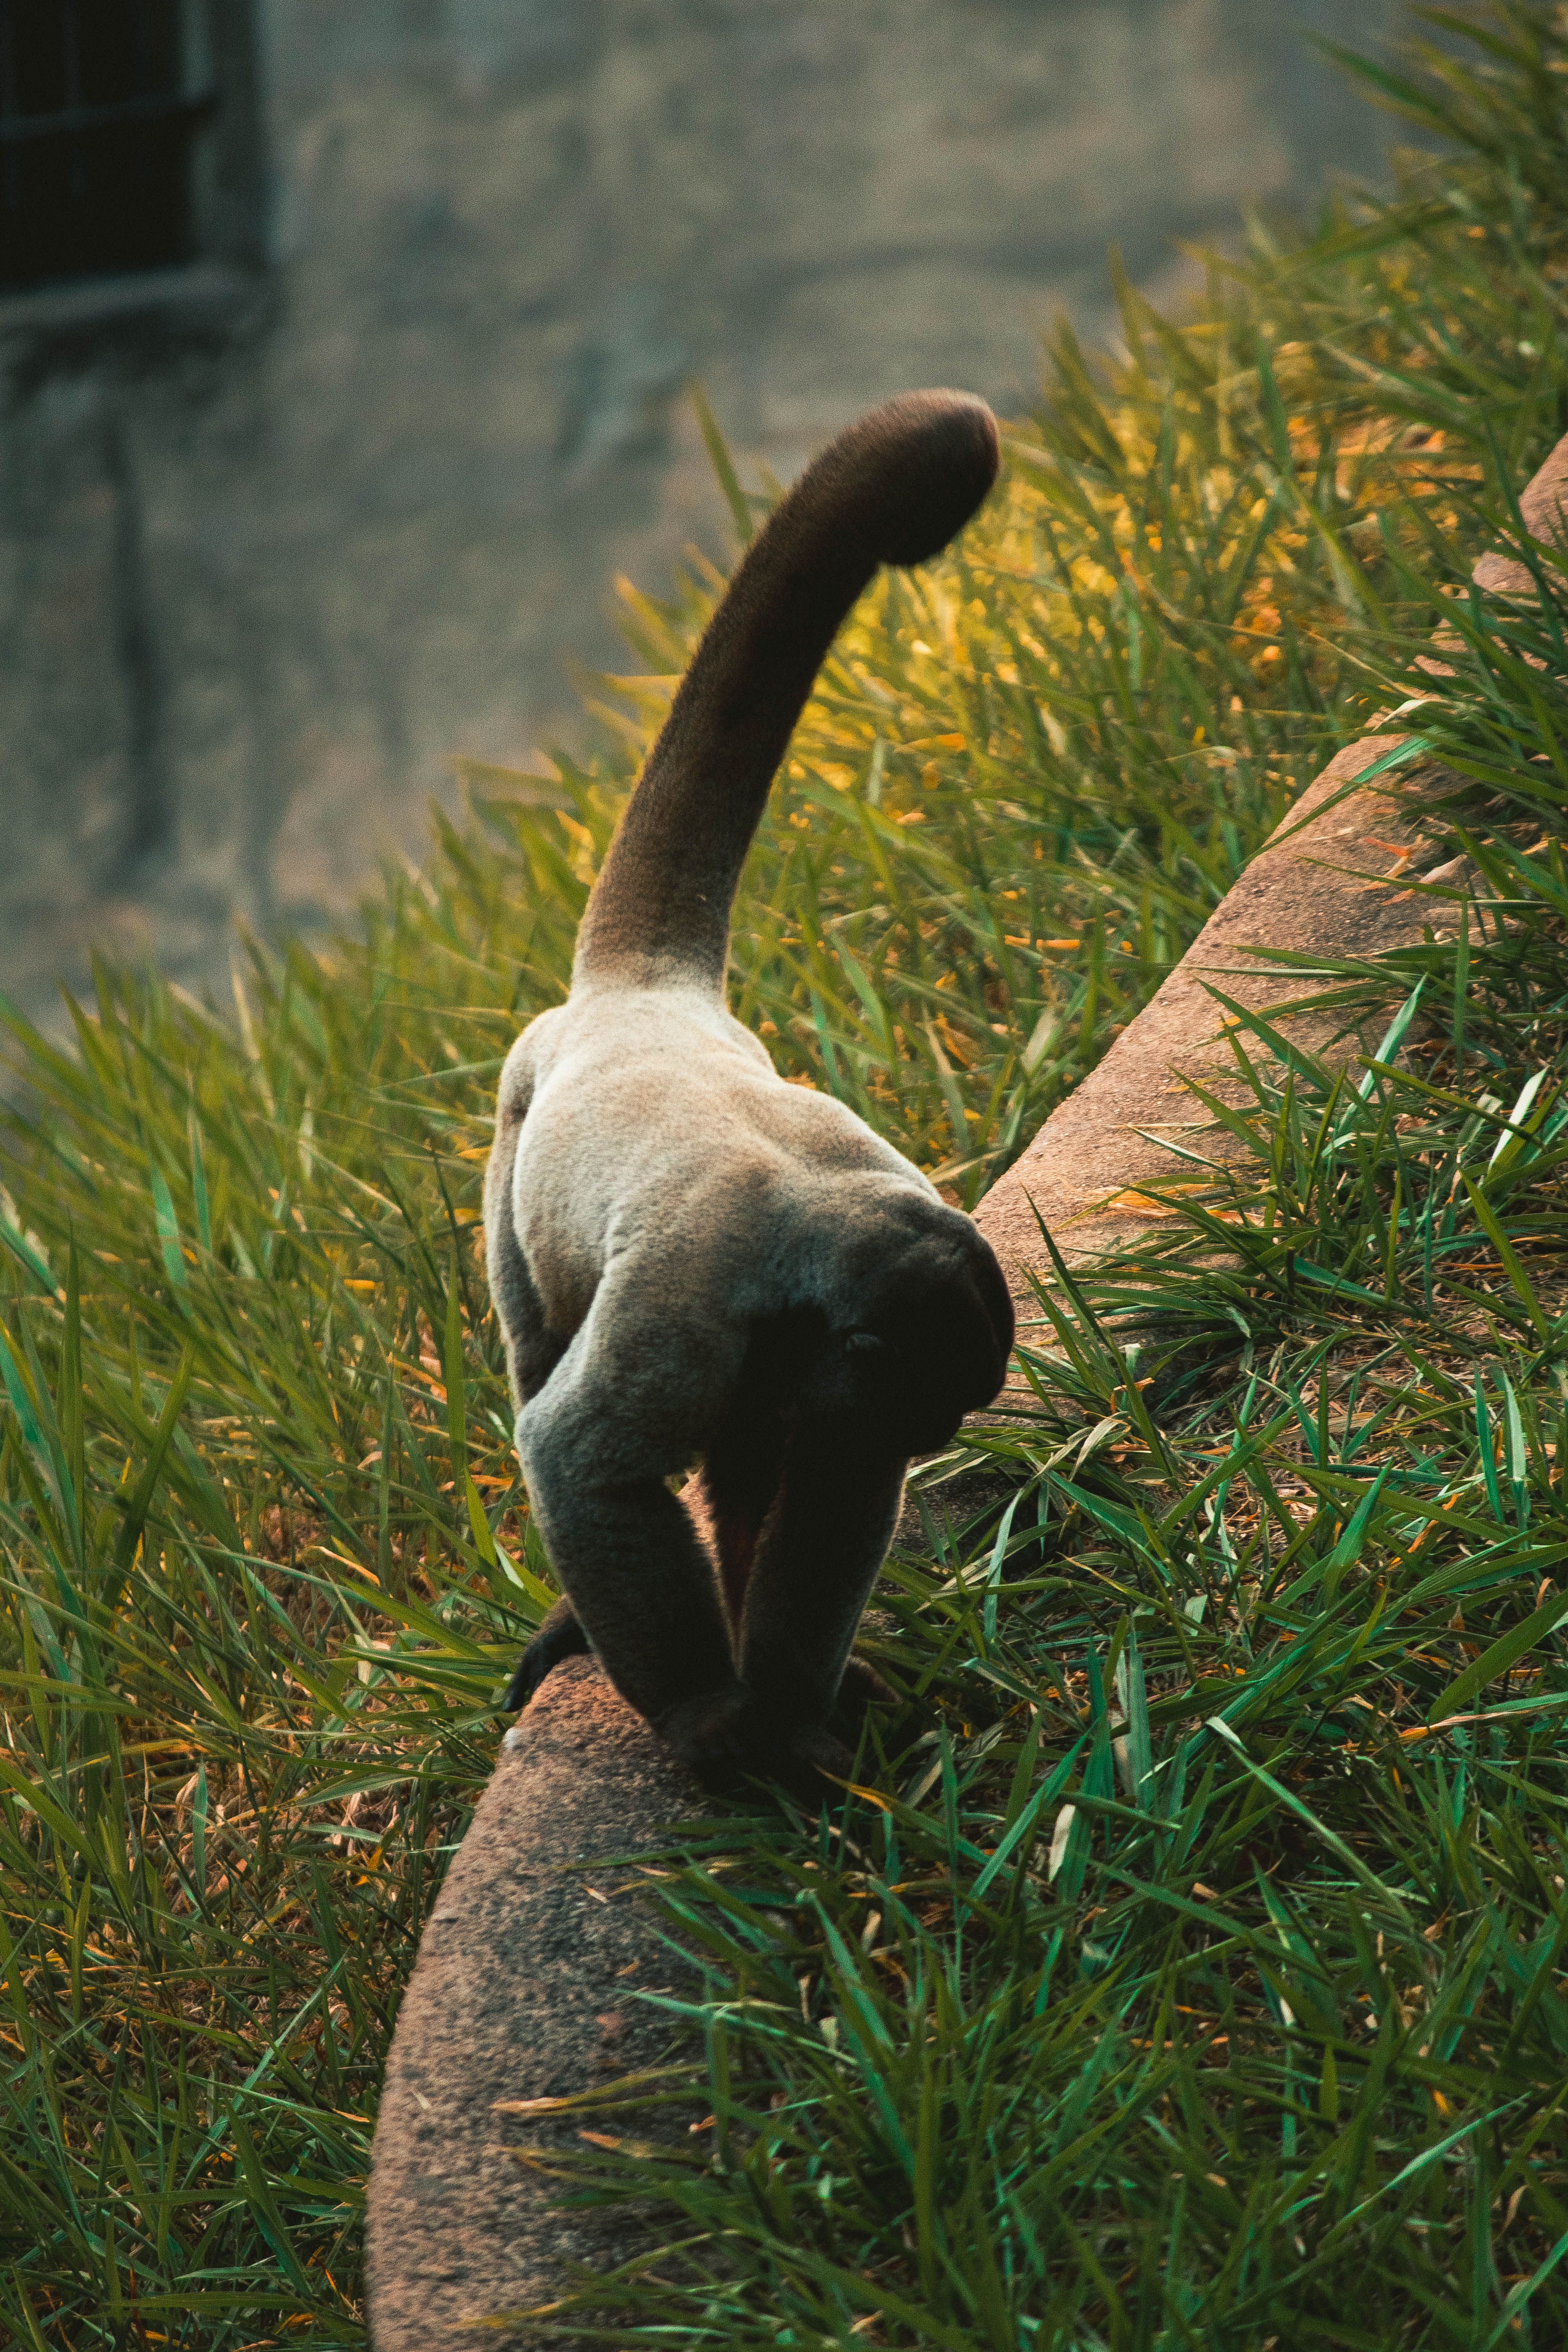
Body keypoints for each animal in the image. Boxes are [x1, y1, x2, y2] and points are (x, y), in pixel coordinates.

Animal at [483, 389, 1015, 1797]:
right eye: (931, 1404)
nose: (930, 1438)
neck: (823, 1244)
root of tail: (641, 992)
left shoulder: (822, 1398)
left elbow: (821, 1507)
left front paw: (792, 1705)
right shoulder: (692, 1314)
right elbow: (578, 1456)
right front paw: (713, 1720)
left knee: (740, 1462)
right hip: (511, 1139)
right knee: (536, 1353)